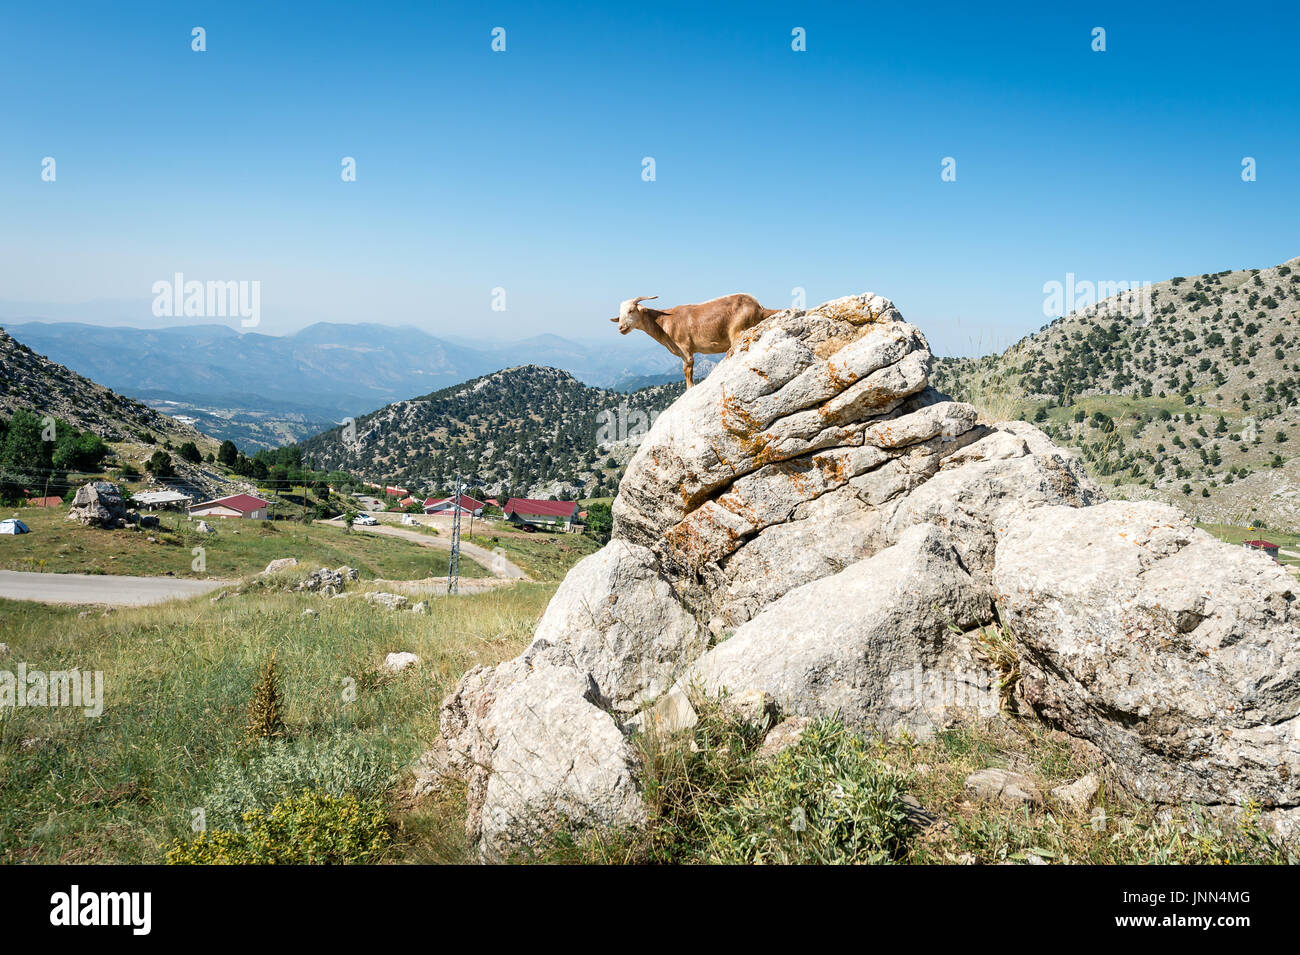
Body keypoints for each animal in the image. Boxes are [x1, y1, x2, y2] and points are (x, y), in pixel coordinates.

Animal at [610, 293, 780, 387]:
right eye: (620, 313)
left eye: (631, 310)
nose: (621, 327)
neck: (664, 322)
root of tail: (759, 307)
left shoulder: (685, 346)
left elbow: (688, 369)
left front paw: (689, 389)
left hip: (738, 329)